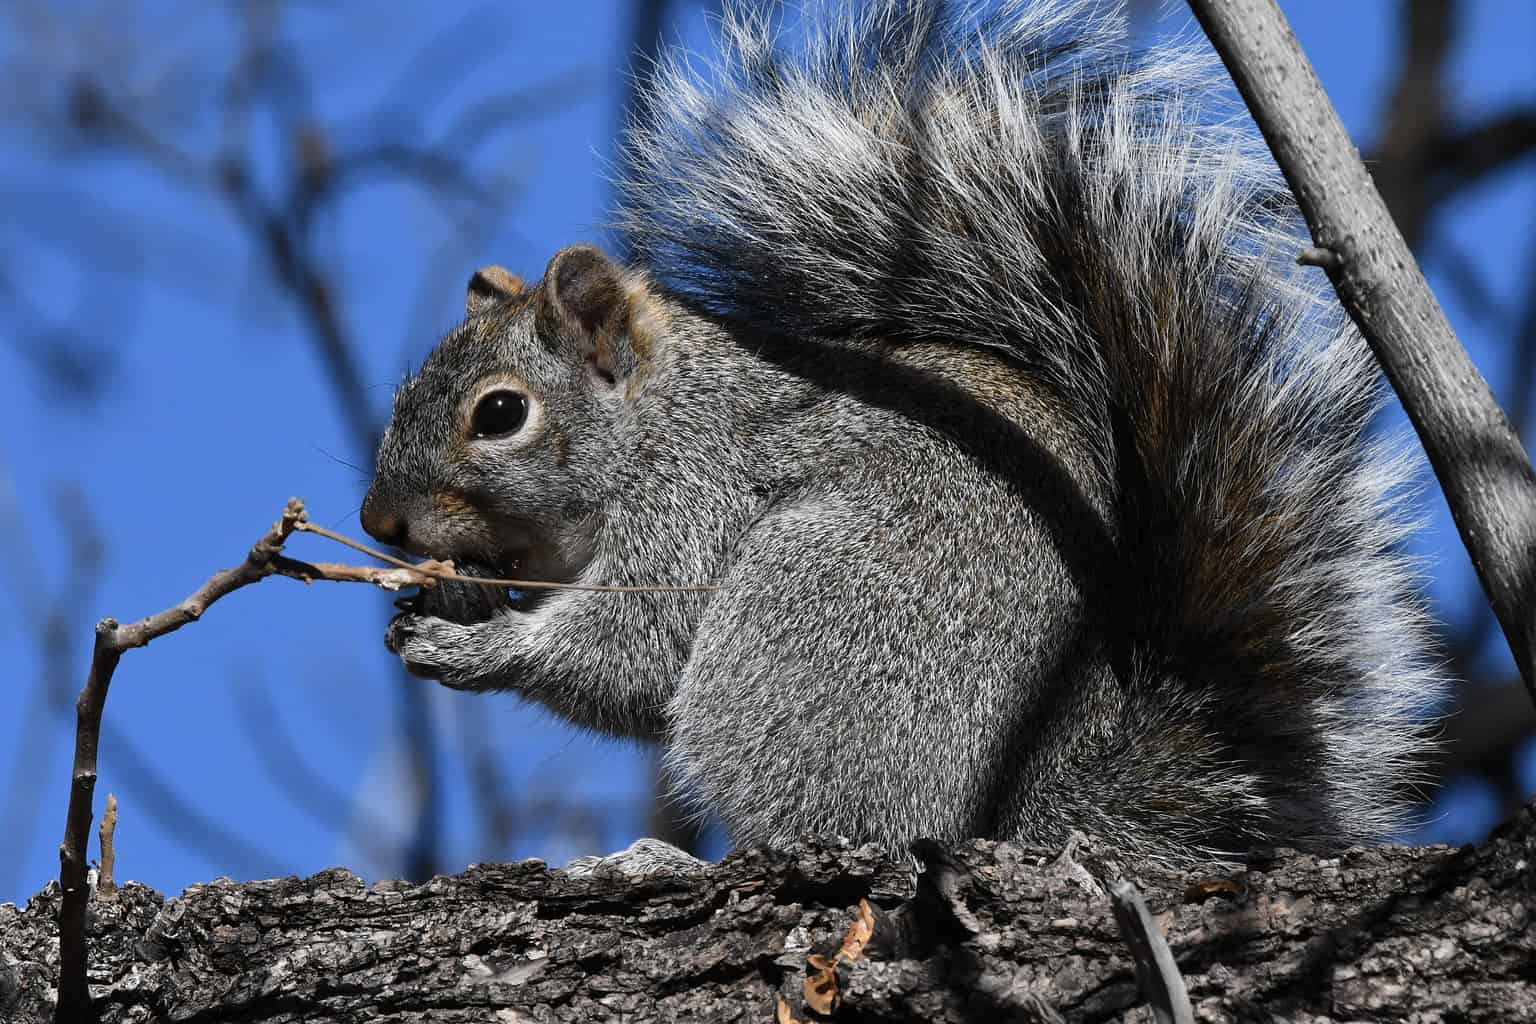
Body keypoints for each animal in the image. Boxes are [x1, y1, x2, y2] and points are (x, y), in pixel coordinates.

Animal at [361, 0, 1441, 864]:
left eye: (501, 413)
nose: (379, 524)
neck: (661, 420)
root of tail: (1040, 806)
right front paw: (445, 601)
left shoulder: (694, 502)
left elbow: (628, 652)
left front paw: (480, 647)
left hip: (810, 622)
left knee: (842, 831)